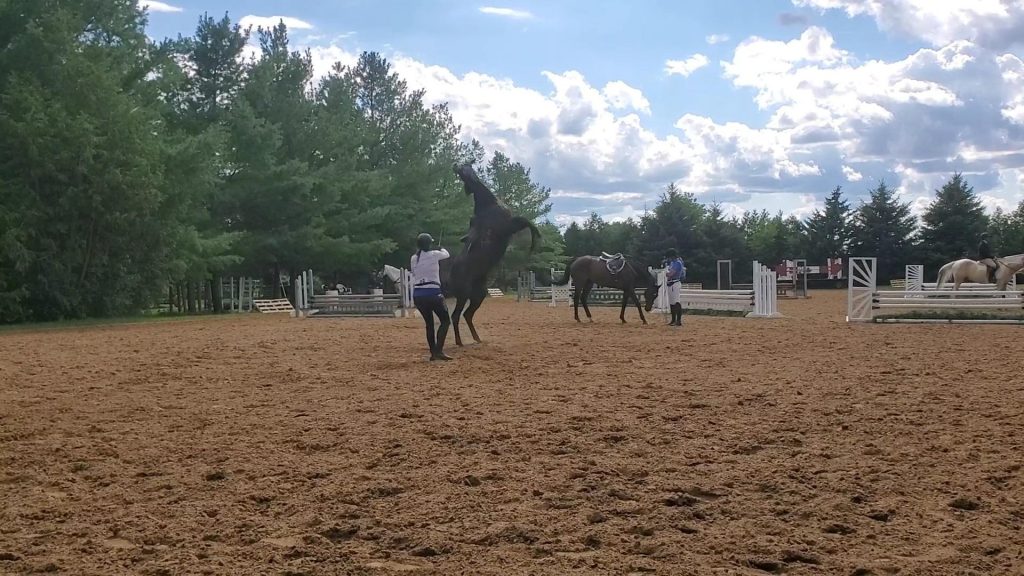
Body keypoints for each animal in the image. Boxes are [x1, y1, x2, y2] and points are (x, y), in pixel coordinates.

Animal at [442, 163, 541, 346]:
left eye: (466, 166)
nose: (455, 165)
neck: (489, 204)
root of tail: (449, 279)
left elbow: (527, 222)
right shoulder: (509, 226)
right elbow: (527, 222)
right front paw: (535, 242)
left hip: (478, 295)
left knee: (467, 315)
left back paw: (477, 338)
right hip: (463, 295)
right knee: (456, 316)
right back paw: (460, 341)